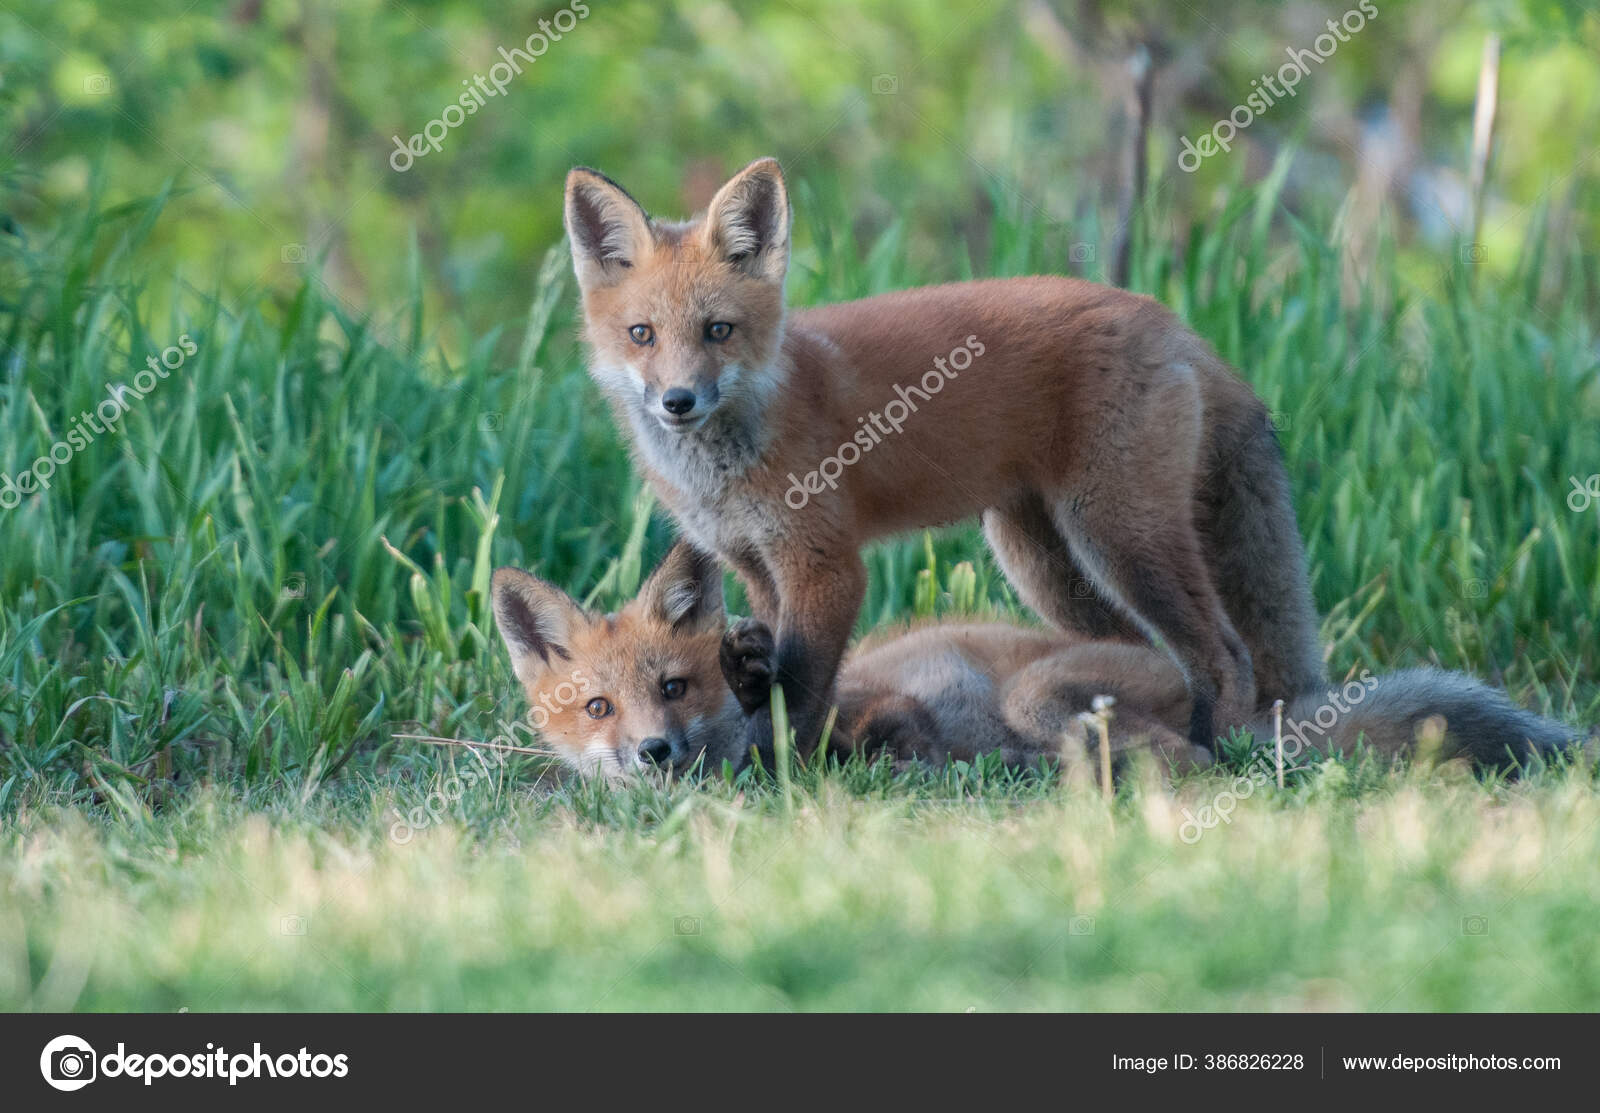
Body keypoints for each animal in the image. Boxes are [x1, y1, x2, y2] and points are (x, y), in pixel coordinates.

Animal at [561, 157, 1323, 764]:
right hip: (1042, 562)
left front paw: (776, 776)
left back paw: (1220, 749)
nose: (678, 401)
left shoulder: (825, 566)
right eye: (642, 335)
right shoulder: (755, 564)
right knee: (1137, 651)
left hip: (1119, 537)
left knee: (1224, 654)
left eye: (718, 330)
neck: (724, 467)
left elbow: (799, 691)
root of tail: (1171, 321)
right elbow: (783, 681)